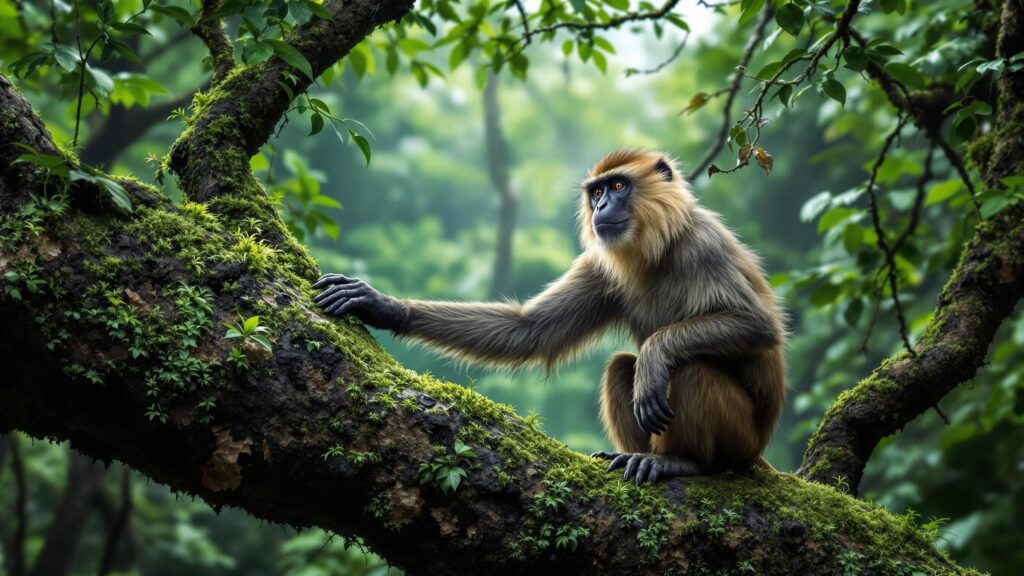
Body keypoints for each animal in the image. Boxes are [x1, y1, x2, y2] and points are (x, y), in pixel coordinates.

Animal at [314, 149, 786, 484]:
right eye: (597, 193)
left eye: (618, 185)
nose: (600, 209)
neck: (659, 249)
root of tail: (760, 450)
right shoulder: (600, 266)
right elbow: (531, 331)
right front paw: (383, 305)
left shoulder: (703, 244)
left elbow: (757, 326)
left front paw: (657, 353)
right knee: (623, 367)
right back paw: (637, 454)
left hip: (741, 442)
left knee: (688, 369)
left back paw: (683, 461)